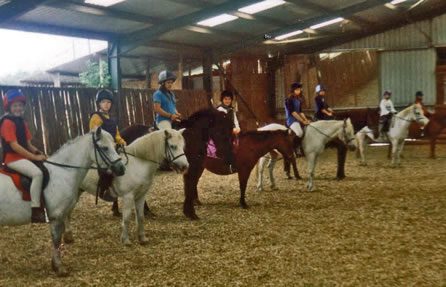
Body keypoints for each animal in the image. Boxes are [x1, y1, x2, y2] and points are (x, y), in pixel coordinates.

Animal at [0, 128, 124, 276]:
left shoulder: (63, 214)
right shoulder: (57, 216)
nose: (121, 168)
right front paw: (59, 267)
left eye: (115, 146)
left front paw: (55, 264)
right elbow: (56, 239)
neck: (63, 172)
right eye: (105, 148)